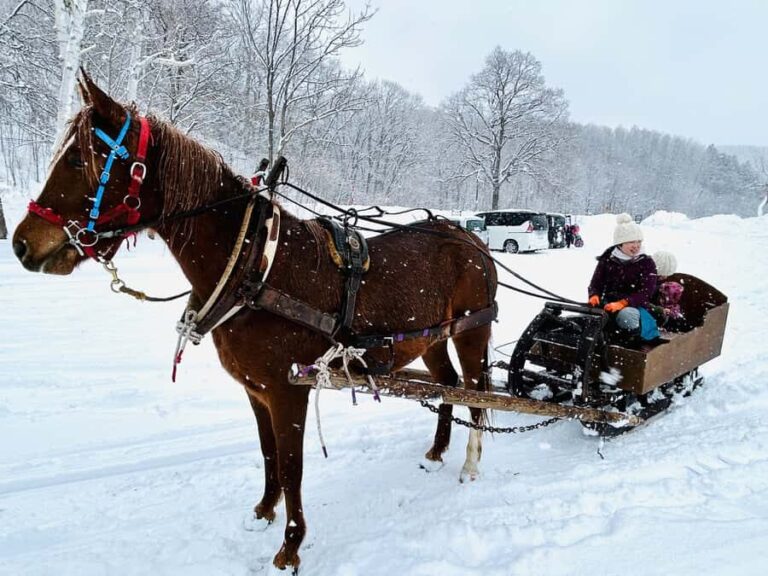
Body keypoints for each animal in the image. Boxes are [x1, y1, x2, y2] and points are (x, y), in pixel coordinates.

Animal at [12, 71, 498, 572]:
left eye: (77, 160)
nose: (21, 243)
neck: (253, 267)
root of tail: (470, 237)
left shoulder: (288, 391)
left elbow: (291, 466)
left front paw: (290, 545)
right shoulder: (256, 389)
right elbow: (269, 455)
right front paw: (264, 511)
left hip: (473, 330)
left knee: (476, 391)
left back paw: (470, 462)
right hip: (432, 338)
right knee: (448, 385)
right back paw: (438, 451)